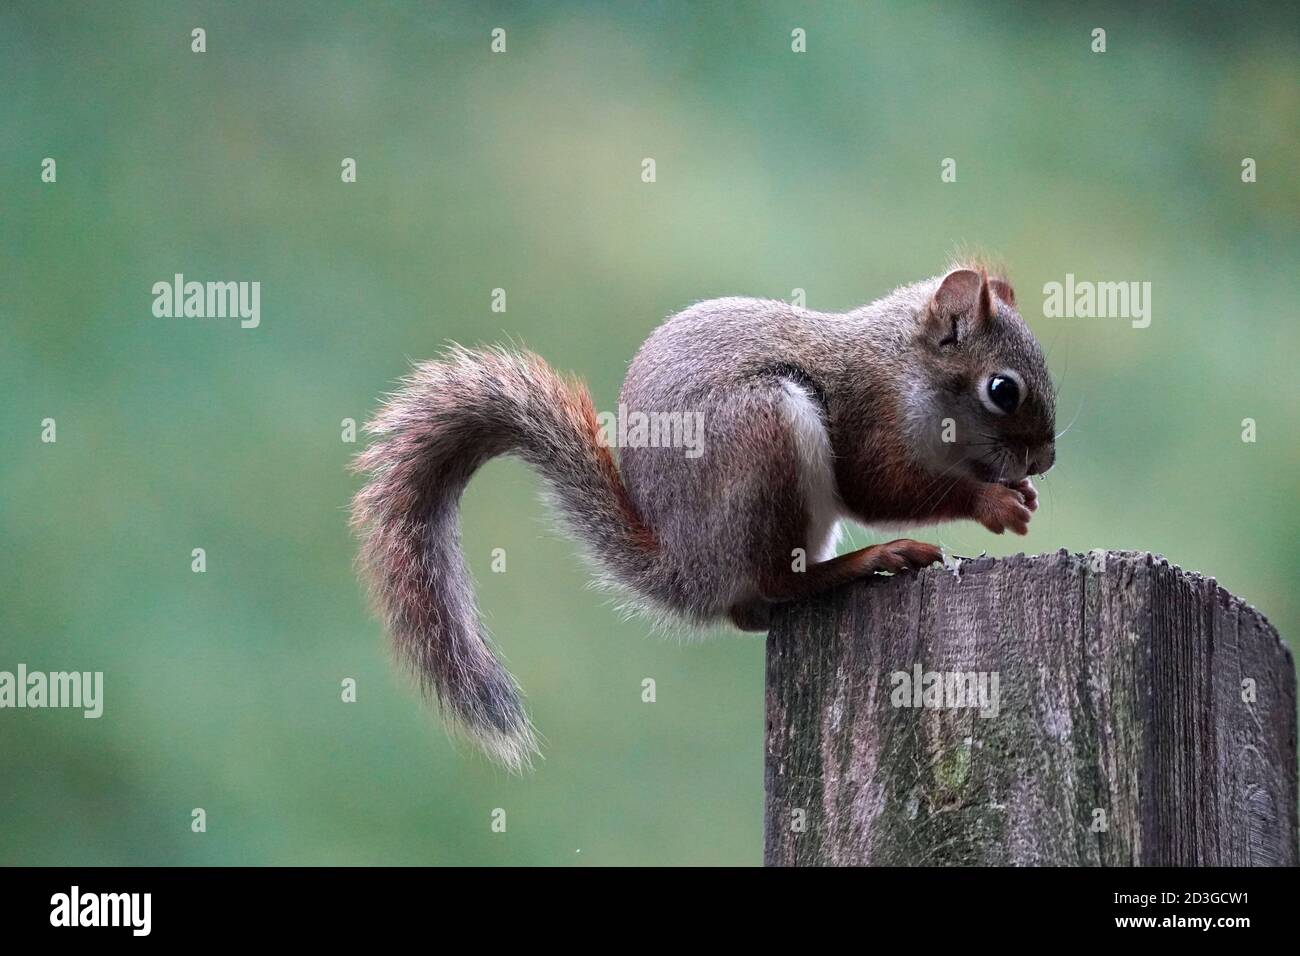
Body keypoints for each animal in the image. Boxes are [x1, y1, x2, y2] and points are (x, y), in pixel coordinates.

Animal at [351, 265, 1056, 771]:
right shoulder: (870, 423)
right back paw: (871, 560)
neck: (905, 368)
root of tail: (688, 568)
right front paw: (993, 502)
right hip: (766, 437)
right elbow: (880, 489)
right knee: (778, 582)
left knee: (754, 607)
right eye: (1002, 390)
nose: (1046, 461)